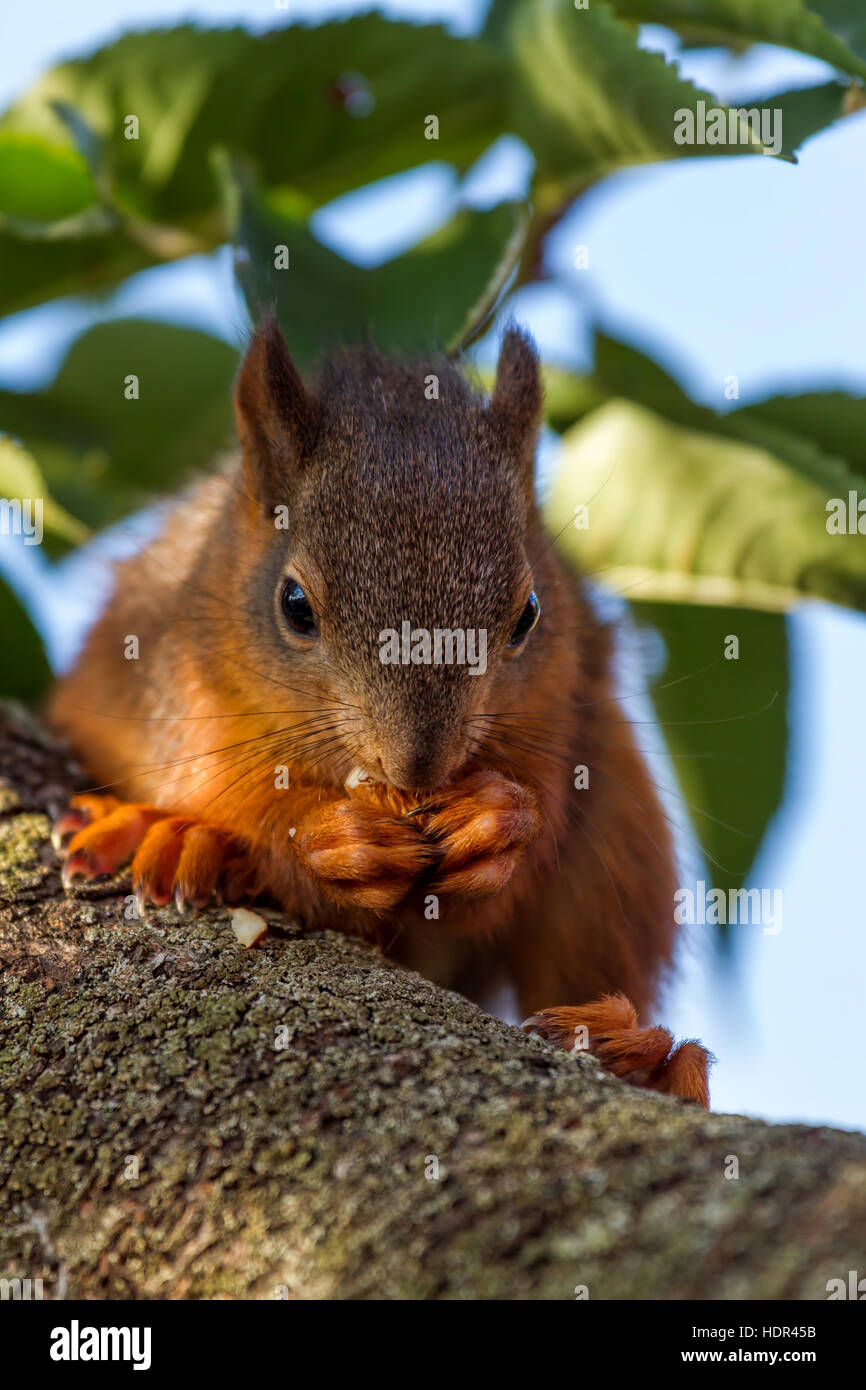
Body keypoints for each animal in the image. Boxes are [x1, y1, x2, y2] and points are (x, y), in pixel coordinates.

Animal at [48, 317, 711, 1106]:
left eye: (528, 614)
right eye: (294, 606)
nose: (417, 765)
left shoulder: (561, 693)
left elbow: (524, 842)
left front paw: (496, 822)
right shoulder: (166, 670)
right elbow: (220, 784)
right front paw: (324, 837)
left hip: (622, 838)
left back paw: (643, 1056)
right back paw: (178, 838)